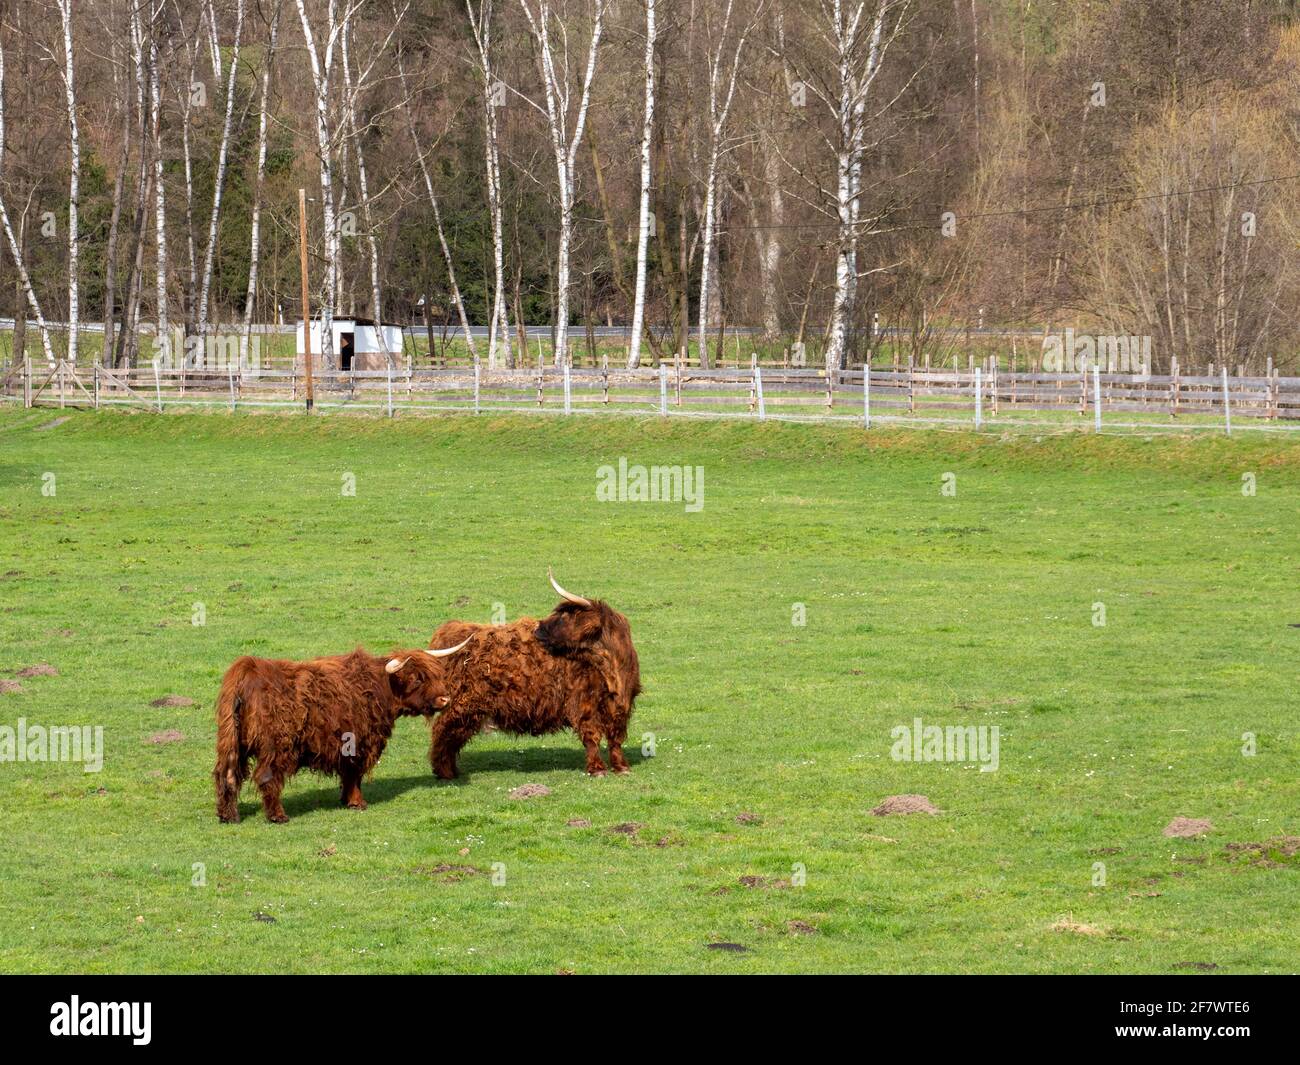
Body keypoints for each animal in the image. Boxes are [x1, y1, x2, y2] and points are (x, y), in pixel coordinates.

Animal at [213, 638, 470, 823]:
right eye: (417, 679)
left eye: (437, 675)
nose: (445, 699)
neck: (379, 688)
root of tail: (248, 668)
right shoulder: (358, 742)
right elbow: (354, 774)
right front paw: (357, 803)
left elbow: (348, 774)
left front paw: (347, 800)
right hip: (275, 746)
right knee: (266, 776)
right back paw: (278, 816)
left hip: (231, 741)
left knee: (226, 774)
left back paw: (229, 816)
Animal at [424, 571, 642, 779]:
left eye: (565, 617)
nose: (538, 630)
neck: (612, 670)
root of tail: (450, 630)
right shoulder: (583, 703)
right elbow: (592, 736)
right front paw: (597, 769)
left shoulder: (620, 705)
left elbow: (615, 737)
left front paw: (621, 767)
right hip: (464, 703)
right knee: (443, 730)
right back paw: (445, 772)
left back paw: (451, 770)